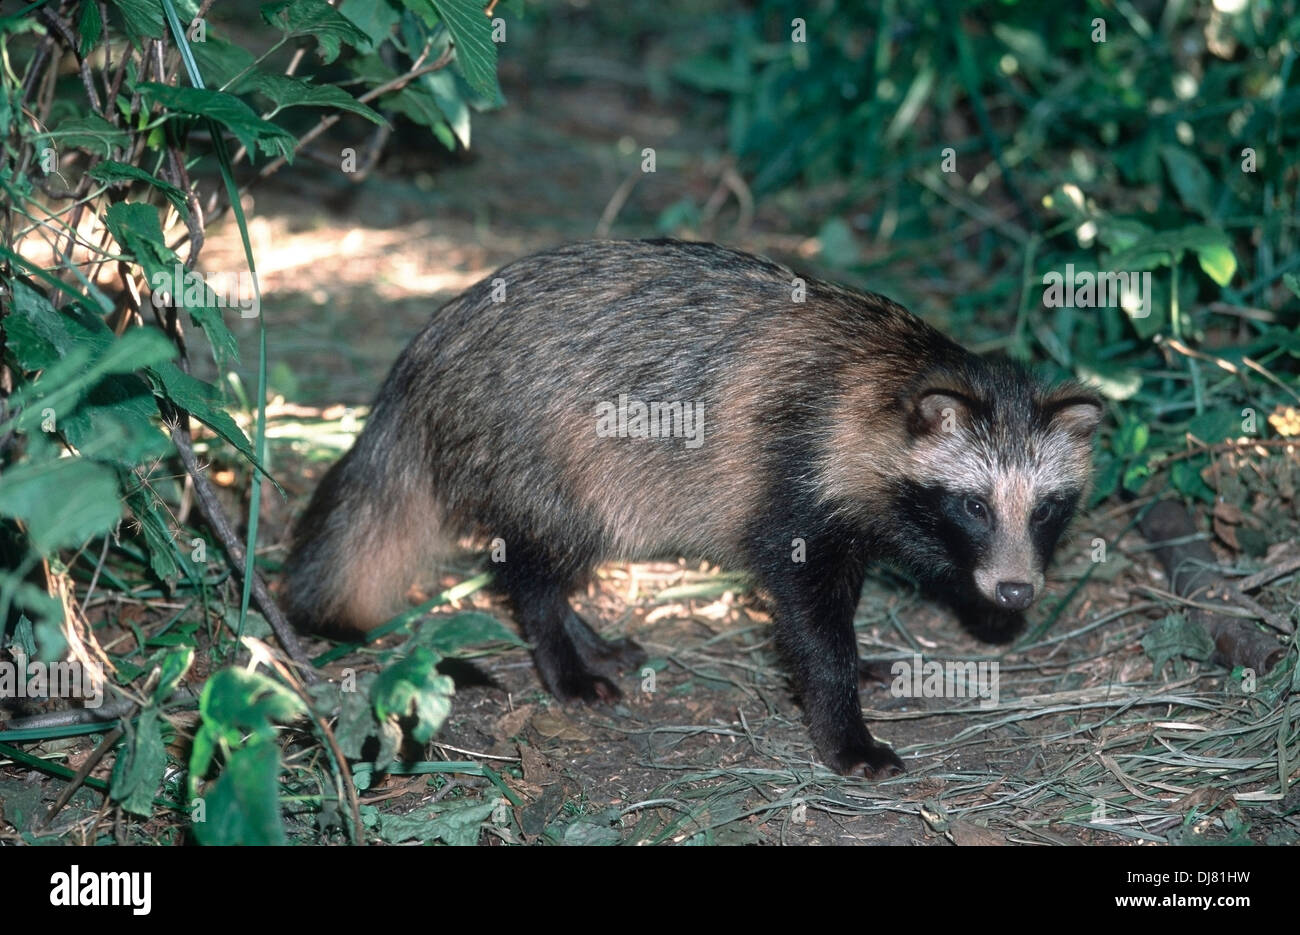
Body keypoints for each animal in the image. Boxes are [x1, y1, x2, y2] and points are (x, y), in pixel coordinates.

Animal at [282, 239, 1102, 776]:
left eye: (1046, 510)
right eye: (972, 504)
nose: (1015, 591)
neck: (894, 378)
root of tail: (426, 351)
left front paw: (864, 661)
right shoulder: (793, 473)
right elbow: (808, 618)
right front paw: (845, 728)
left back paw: (589, 637)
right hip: (541, 445)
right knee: (536, 566)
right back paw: (562, 657)